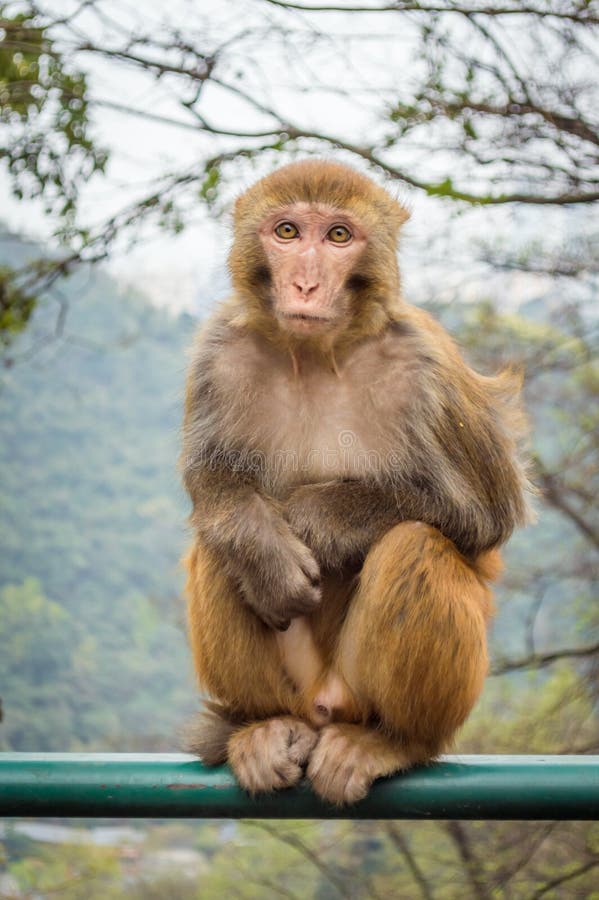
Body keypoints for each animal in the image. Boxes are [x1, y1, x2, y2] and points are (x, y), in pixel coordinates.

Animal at [181, 159, 533, 805]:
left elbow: (487, 514)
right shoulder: (217, 355)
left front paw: (323, 518)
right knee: (218, 542)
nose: (305, 285)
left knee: (415, 544)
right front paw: (266, 550)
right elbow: (217, 488)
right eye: (288, 231)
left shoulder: (429, 368)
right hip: (295, 683)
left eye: (339, 236)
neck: (320, 352)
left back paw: (393, 742)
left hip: (377, 693)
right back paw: (263, 726)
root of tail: (322, 704)